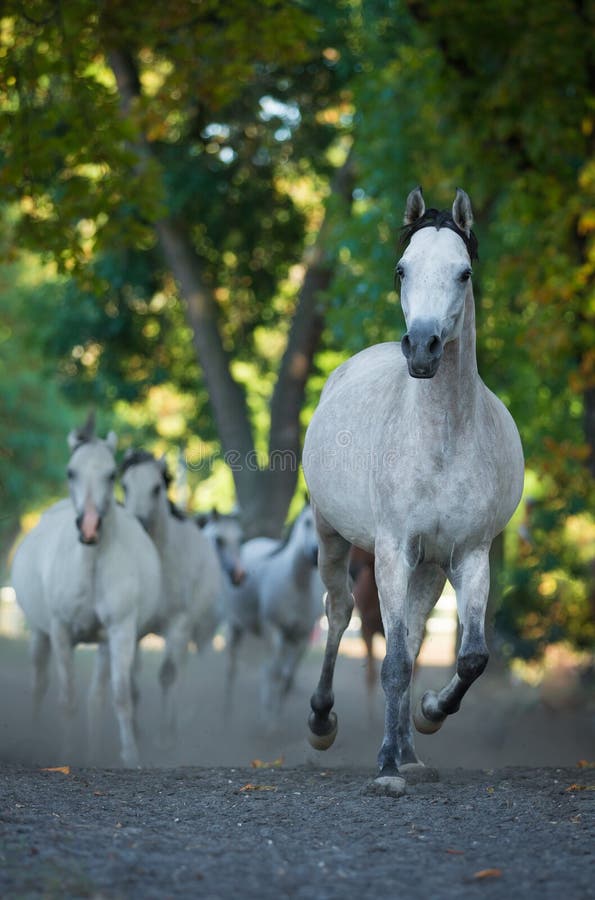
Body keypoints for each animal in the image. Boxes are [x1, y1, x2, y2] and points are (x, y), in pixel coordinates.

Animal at [11, 414, 161, 767]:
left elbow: (116, 697)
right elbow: (67, 698)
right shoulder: (61, 631)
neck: (91, 565)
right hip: (39, 634)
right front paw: (66, 755)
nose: (90, 527)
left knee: (96, 696)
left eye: (111, 474)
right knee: (39, 684)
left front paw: (128, 757)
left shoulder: (119, 633)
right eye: (71, 472)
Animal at [120, 451, 230, 735]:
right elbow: (131, 680)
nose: (138, 524)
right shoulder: (131, 627)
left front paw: (167, 733)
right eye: (124, 485)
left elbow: (168, 675)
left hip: (200, 632)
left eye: (156, 488)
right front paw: (135, 730)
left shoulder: (178, 624)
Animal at [224, 504, 322, 720]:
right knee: (233, 667)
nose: (315, 553)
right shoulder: (273, 627)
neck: (298, 586)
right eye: (306, 522)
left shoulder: (301, 635)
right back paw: (229, 712)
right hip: (235, 626)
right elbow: (275, 673)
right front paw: (269, 718)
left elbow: (287, 676)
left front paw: (275, 714)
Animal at [302, 187, 524, 795]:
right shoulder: (391, 551)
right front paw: (383, 770)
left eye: (464, 272)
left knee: (420, 634)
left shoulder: (469, 554)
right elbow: (395, 661)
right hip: (332, 537)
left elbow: (469, 658)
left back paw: (409, 751)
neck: (442, 442)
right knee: (338, 613)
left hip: (430, 566)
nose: (422, 347)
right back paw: (323, 722)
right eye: (402, 268)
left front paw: (428, 715)